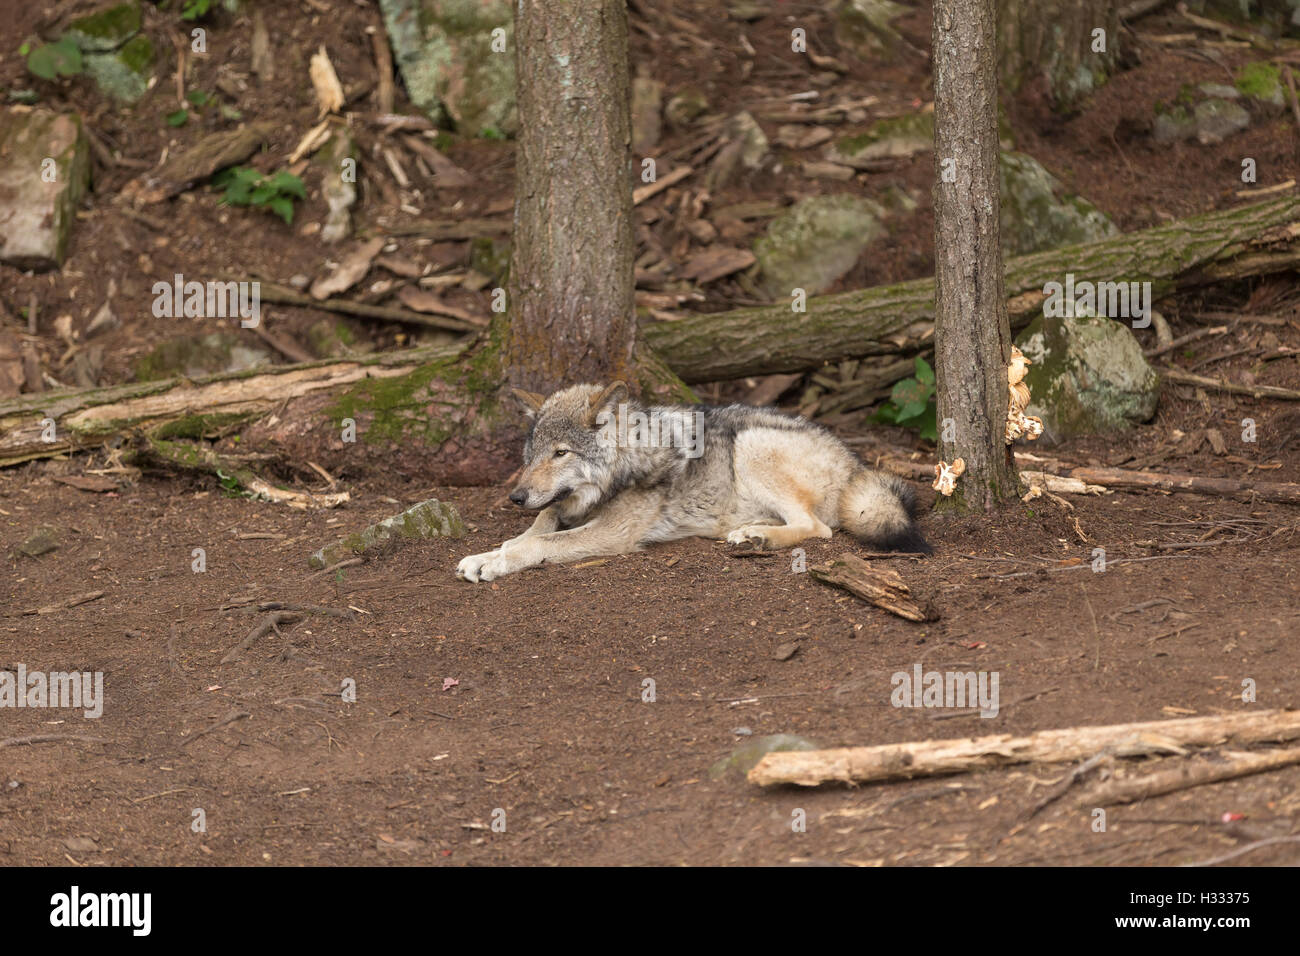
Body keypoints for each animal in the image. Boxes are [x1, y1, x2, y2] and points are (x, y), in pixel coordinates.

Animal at [455, 382, 930, 582]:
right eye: (533, 452)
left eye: (561, 453)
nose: (516, 497)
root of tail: (855, 465)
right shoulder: (561, 506)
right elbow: (531, 530)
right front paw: (487, 554)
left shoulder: (614, 532)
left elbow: (537, 543)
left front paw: (498, 561)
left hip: (751, 444)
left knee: (818, 528)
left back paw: (758, 537)